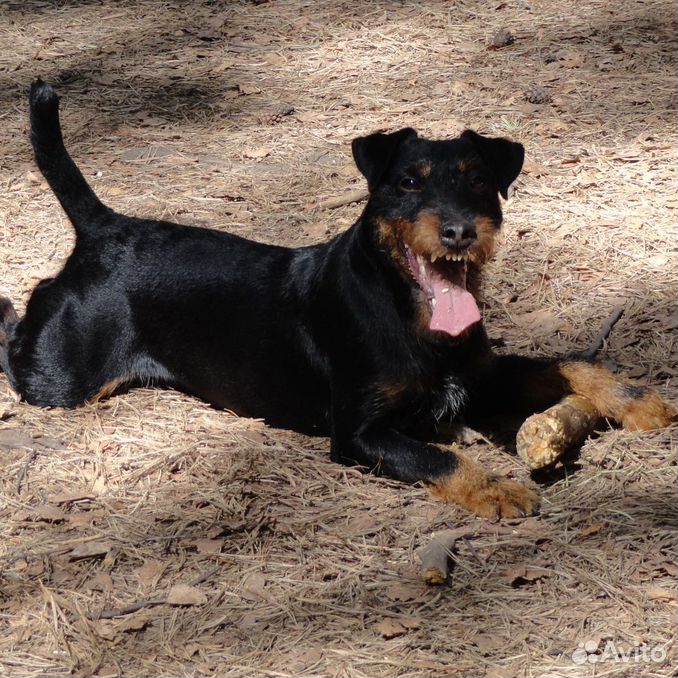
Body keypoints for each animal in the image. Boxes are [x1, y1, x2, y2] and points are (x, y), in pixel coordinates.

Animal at [0, 78, 676, 516]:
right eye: (408, 183)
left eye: (481, 181)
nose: (459, 231)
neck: (407, 312)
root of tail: (107, 227)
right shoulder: (358, 433)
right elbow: (438, 458)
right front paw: (494, 488)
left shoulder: (478, 376)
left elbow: (570, 363)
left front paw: (640, 400)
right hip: (61, 378)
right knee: (20, 326)